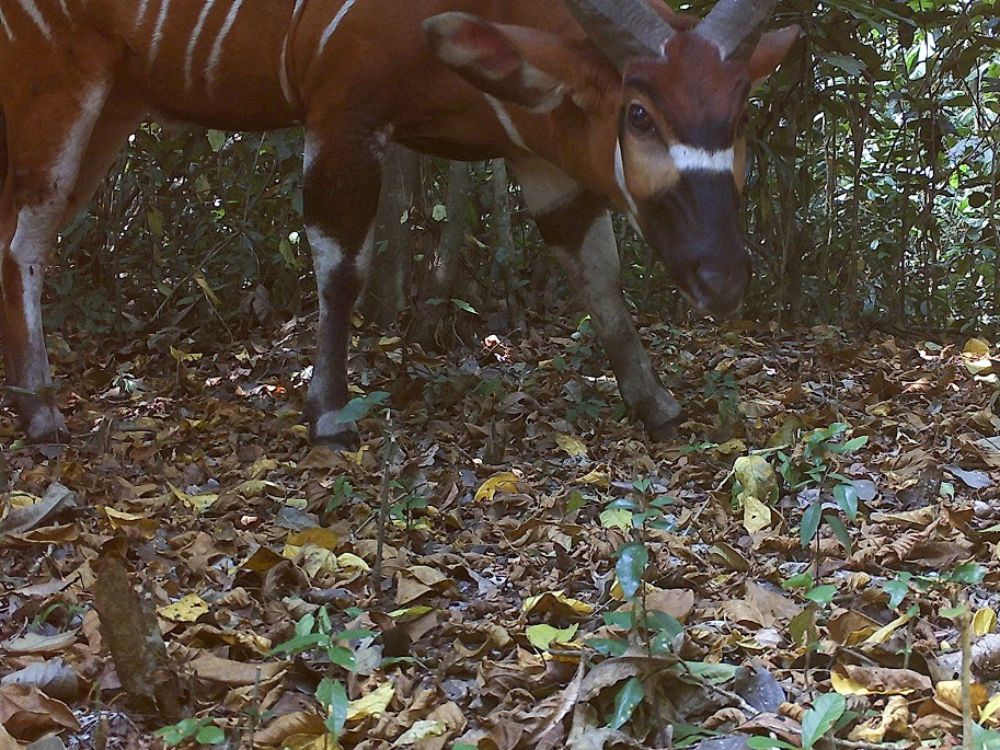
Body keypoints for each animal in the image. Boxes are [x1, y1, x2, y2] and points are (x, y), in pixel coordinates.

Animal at [0, 0, 798, 447]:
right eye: (639, 113)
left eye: (742, 111)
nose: (724, 276)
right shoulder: (344, 114)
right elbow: (342, 267)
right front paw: (328, 413)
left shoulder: (531, 148)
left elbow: (598, 274)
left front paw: (655, 405)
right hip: (59, 76)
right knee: (25, 237)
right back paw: (41, 417)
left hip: (117, 100)